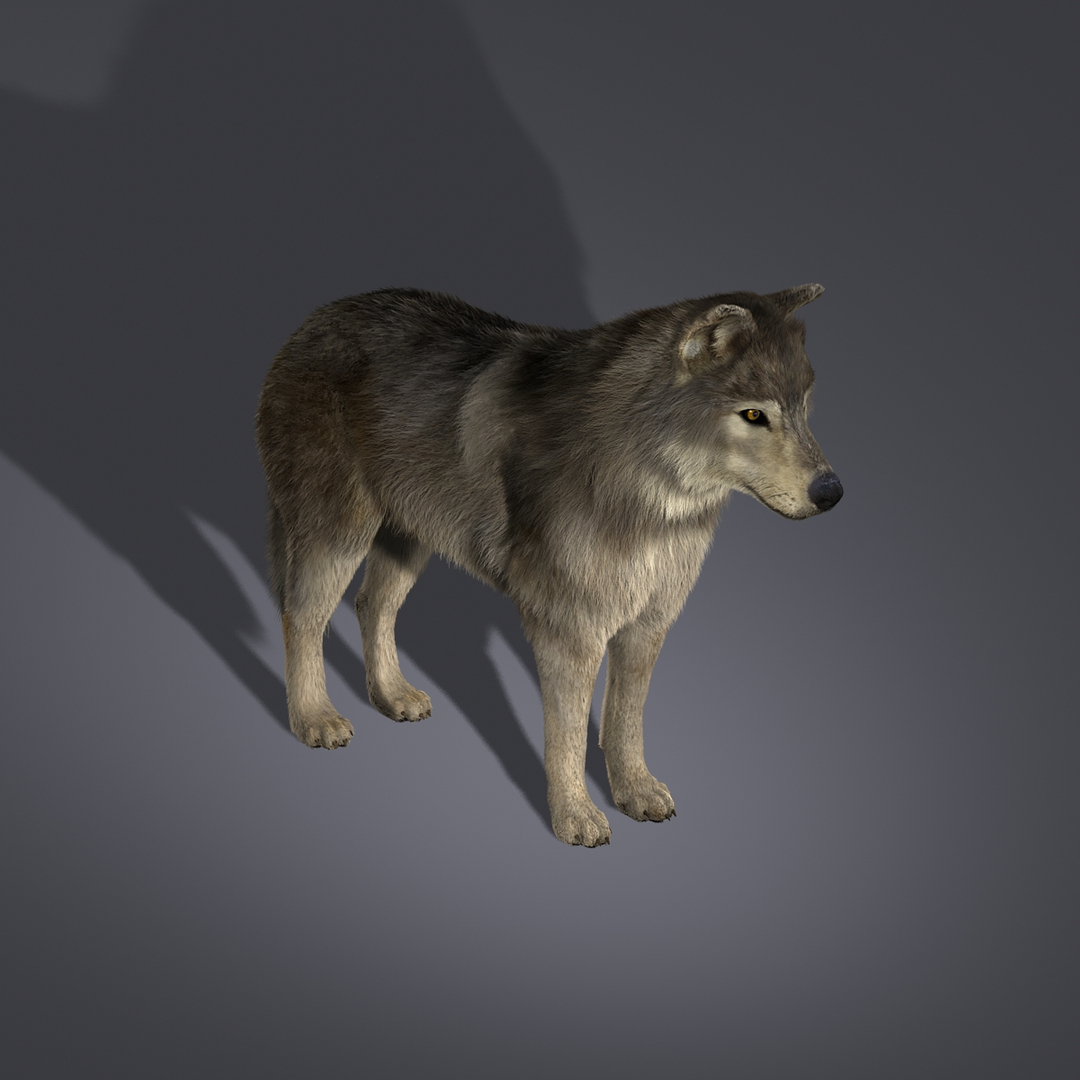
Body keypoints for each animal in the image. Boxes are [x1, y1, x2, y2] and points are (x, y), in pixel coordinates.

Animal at [255, 284, 842, 846]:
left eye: (805, 404)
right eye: (754, 415)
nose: (832, 492)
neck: (646, 483)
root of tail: (315, 321)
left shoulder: (646, 625)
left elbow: (625, 722)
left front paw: (635, 792)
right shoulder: (570, 630)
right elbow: (568, 737)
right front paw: (575, 818)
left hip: (409, 538)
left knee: (370, 604)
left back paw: (392, 695)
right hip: (339, 533)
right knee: (301, 616)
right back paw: (313, 718)